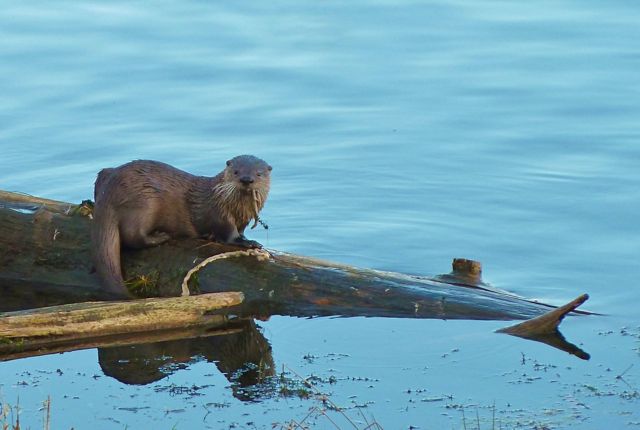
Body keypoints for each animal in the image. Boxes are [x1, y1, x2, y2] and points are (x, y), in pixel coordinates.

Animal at [92, 155, 271, 297]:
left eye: (258, 173)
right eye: (236, 172)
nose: (247, 179)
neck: (236, 208)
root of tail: (108, 191)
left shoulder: (244, 220)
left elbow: (241, 230)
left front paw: (246, 238)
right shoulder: (219, 214)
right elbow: (229, 234)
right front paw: (249, 243)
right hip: (144, 203)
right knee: (133, 236)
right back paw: (161, 237)